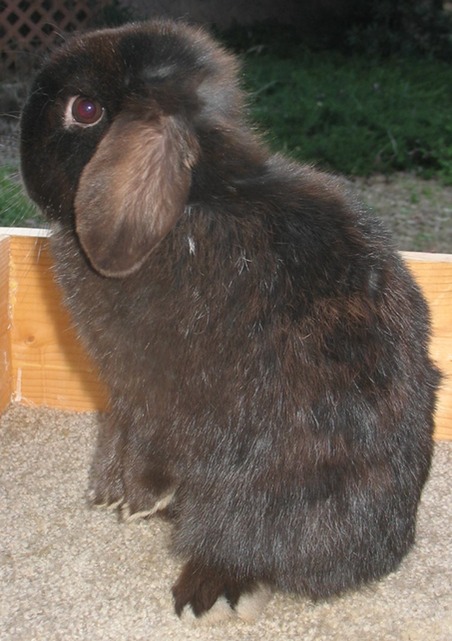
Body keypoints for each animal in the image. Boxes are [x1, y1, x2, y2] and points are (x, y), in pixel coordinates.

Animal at [20, 19, 440, 622]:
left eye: (85, 109)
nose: (23, 160)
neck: (196, 199)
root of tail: (371, 555)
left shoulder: (142, 390)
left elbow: (144, 439)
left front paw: (135, 499)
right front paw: (113, 496)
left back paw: (205, 592)